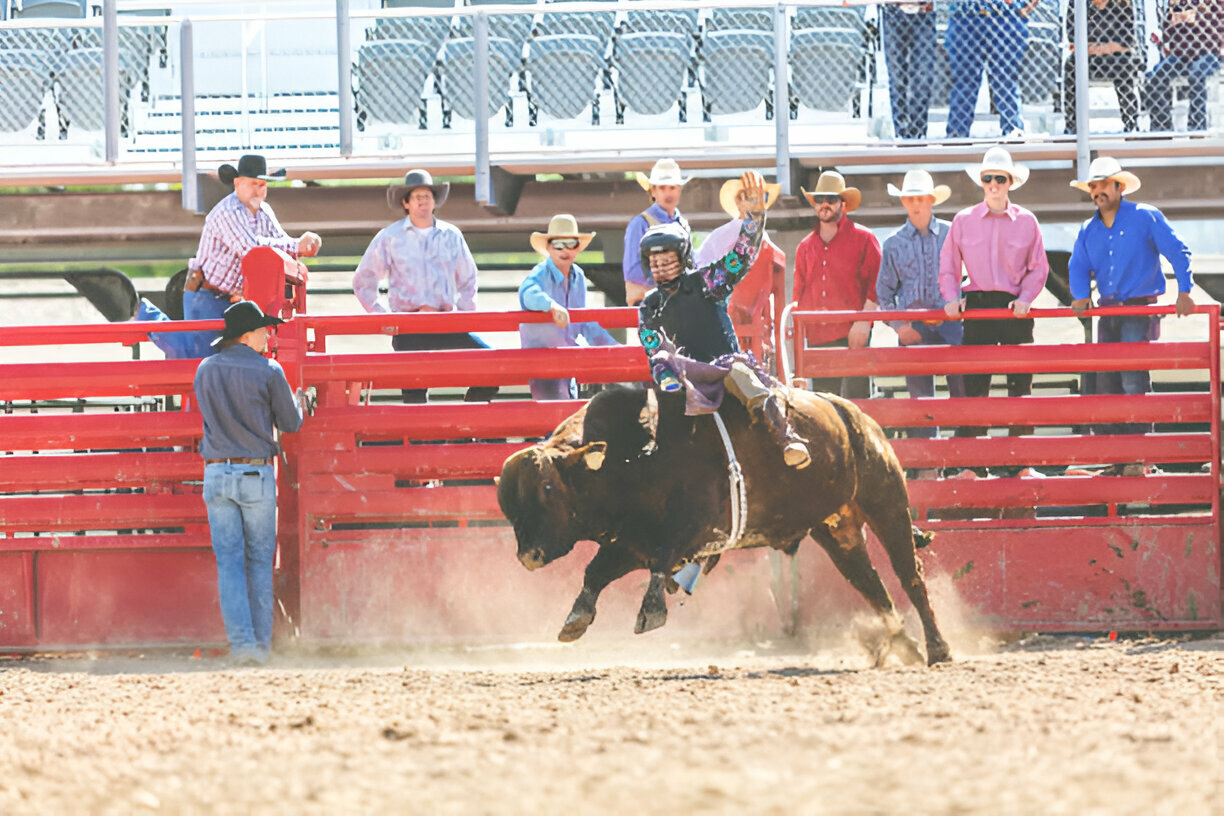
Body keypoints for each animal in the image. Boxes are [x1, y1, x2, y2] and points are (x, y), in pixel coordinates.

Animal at [497, 386, 952, 666]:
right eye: (509, 505)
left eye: (549, 488)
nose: (528, 556)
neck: (637, 452)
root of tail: (855, 416)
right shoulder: (632, 541)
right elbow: (596, 571)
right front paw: (576, 617)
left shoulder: (691, 531)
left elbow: (660, 561)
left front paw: (651, 611)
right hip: (837, 530)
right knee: (871, 585)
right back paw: (905, 645)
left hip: (886, 501)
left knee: (909, 577)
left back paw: (938, 648)